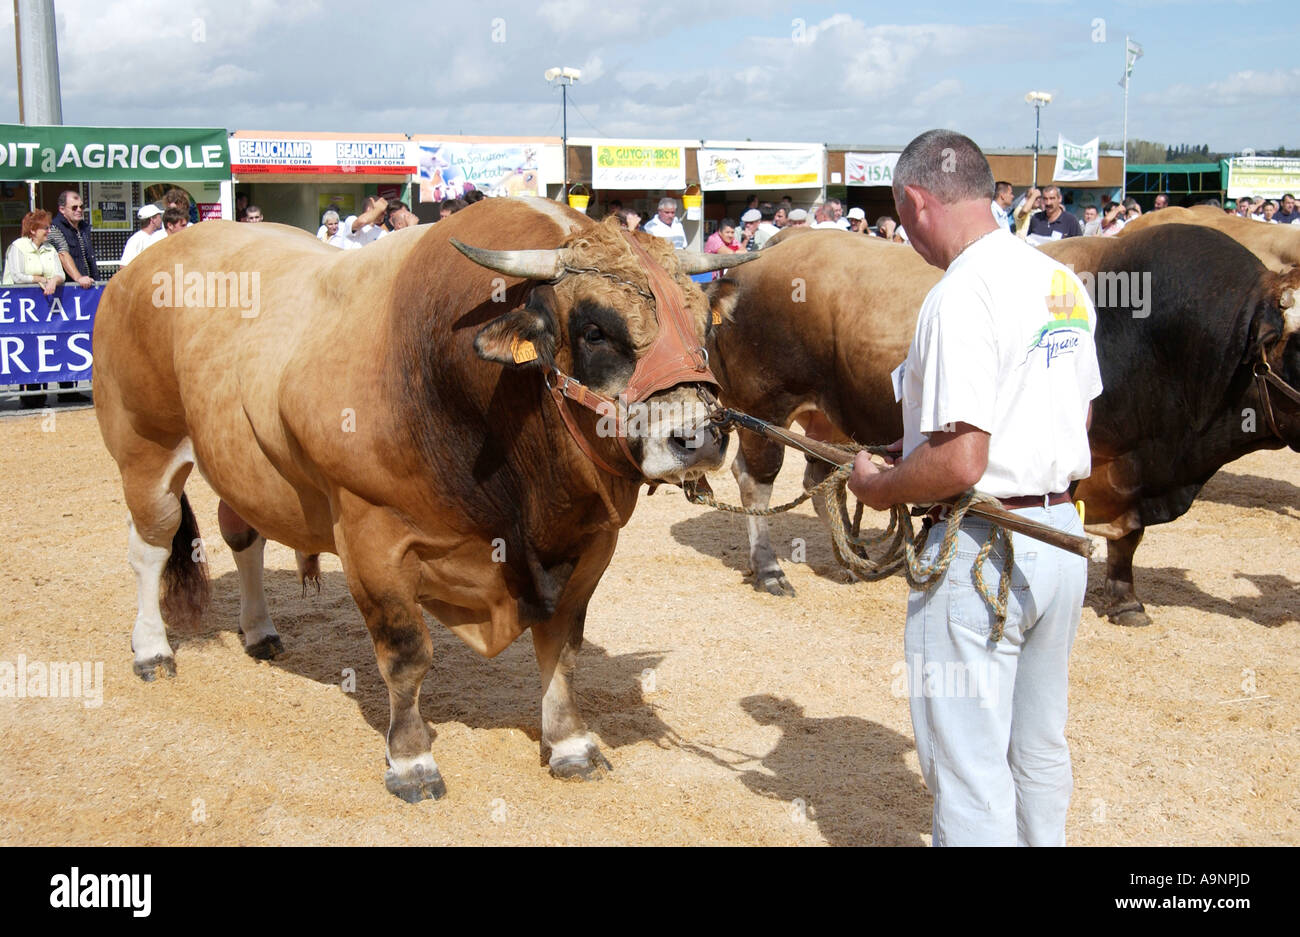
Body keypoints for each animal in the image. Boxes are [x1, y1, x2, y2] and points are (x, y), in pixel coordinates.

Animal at [92, 198, 750, 802]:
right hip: (146, 452)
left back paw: (258, 632)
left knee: (242, 533)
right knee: (149, 548)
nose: (701, 435)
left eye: (706, 328)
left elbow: (562, 648)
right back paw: (152, 649)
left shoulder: (588, 545)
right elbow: (406, 655)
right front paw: (411, 760)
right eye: (595, 330)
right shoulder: (370, 535)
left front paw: (569, 744)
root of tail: (136, 269)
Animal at [708, 224, 1300, 626]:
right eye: (1299, 347)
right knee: (756, 482)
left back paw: (851, 560)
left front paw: (1126, 598)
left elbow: (1129, 539)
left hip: (826, 416)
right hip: (764, 407)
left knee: (821, 480)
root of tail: (775, 245)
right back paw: (770, 569)